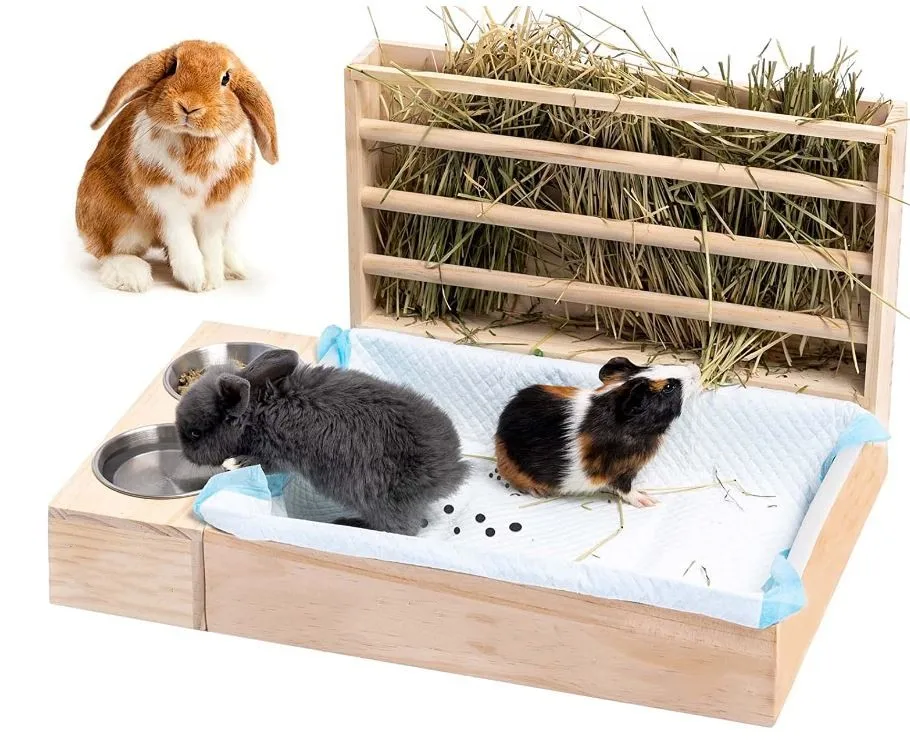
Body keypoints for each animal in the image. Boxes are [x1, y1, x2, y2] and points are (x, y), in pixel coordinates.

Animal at [76, 40, 278, 293]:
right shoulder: (166, 204)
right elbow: (183, 239)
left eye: (225, 79)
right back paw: (132, 275)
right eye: (173, 67)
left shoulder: (217, 209)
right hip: (117, 218)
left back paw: (233, 268)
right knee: (108, 252)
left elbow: (210, 245)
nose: (189, 106)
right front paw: (196, 279)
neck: (193, 140)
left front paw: (212, 279)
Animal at [175, 349, 470, 535]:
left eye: (194, 434)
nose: (185, 453)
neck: (258, 412)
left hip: (383, 502)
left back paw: (348, 523)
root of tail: (453, 470)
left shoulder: (274, 453)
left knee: (400, 530)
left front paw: (232, 463)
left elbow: (260, 462)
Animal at [495, 357, 702, 508]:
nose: (697, 369)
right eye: (669, 387)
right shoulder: (621, 472)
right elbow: (626, 489)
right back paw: (540, 492)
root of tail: (499, 434)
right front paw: (648, 501)